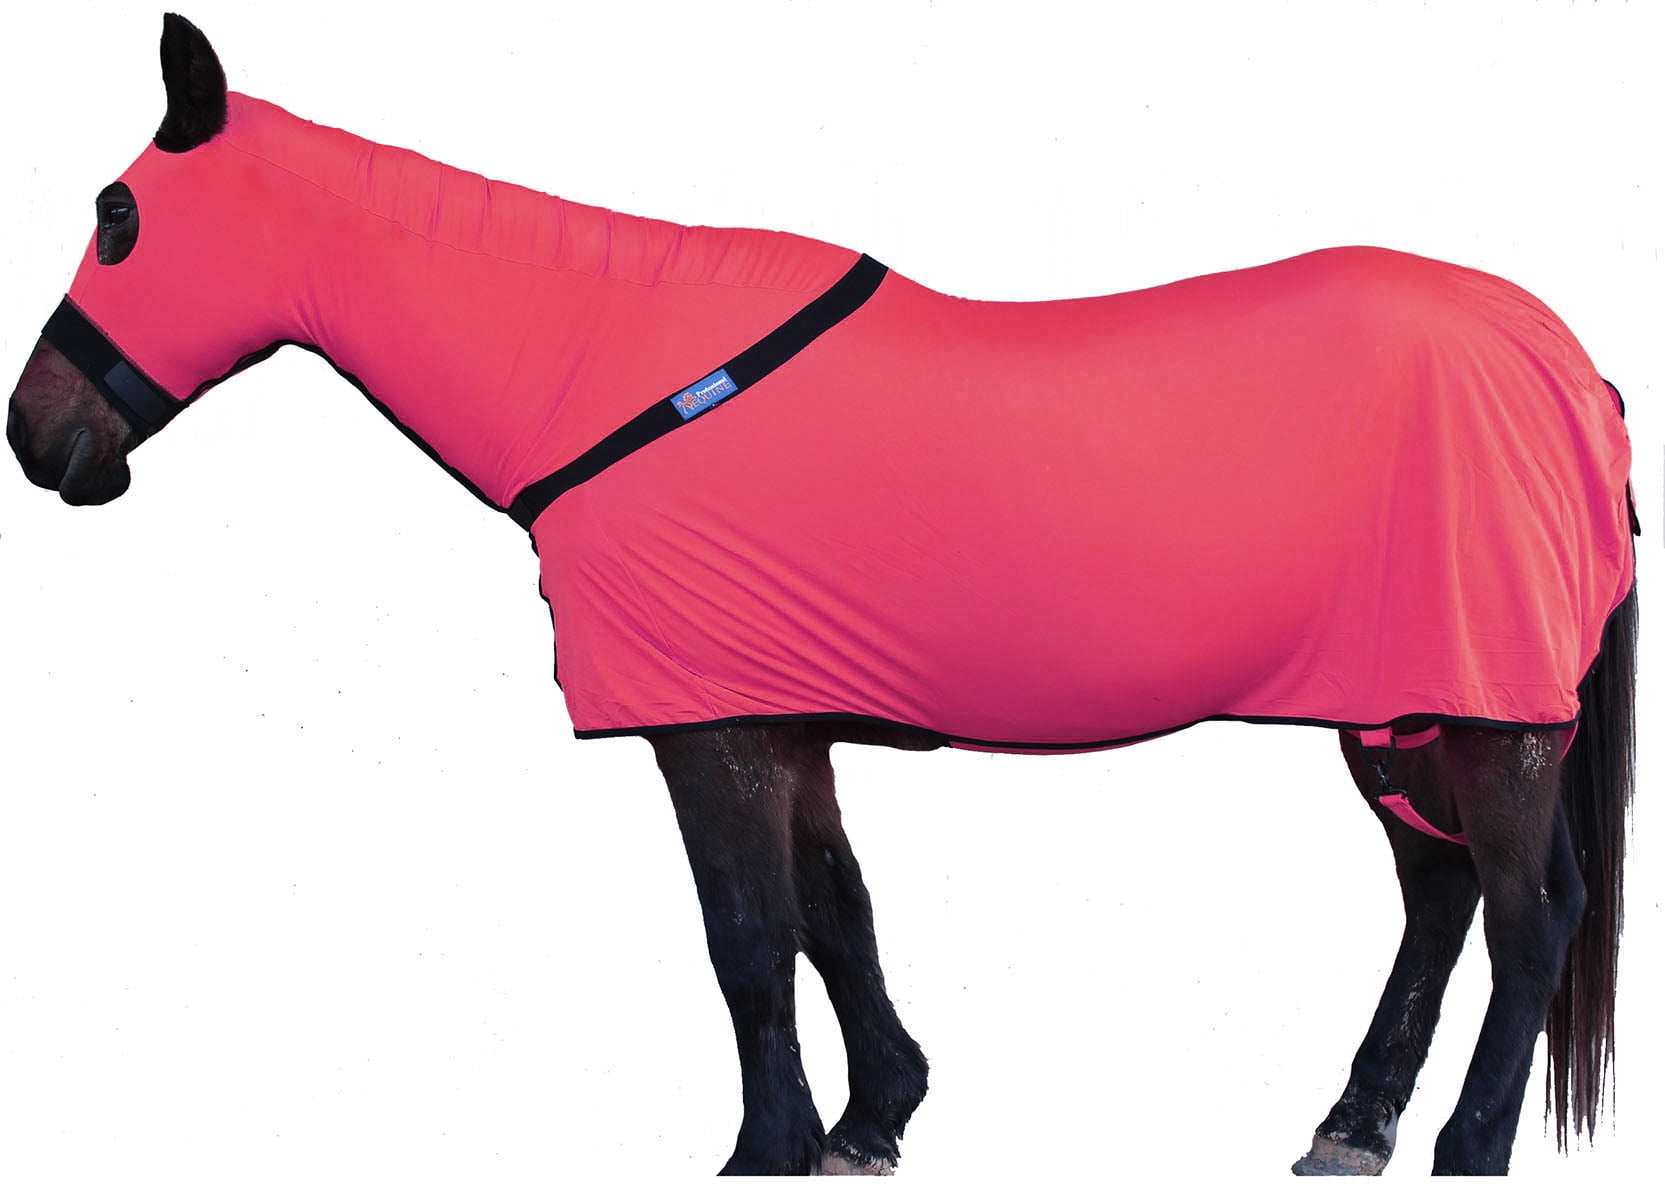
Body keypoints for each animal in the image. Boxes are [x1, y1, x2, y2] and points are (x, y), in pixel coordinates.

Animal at [5, 15, 1637, 1177]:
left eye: (116, 213)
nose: (38, 439)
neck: (605, 371)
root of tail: (1558, 360)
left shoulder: (708, 728)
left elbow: (747, 934)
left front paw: (768, 1148)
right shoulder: (779, 717)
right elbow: (831, 911)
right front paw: (874, 1119)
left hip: (1489, 719)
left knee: (1529, 912)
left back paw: (1469, 1143)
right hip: (1398, 710)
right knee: (1439, 897)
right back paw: (1353, 1124)